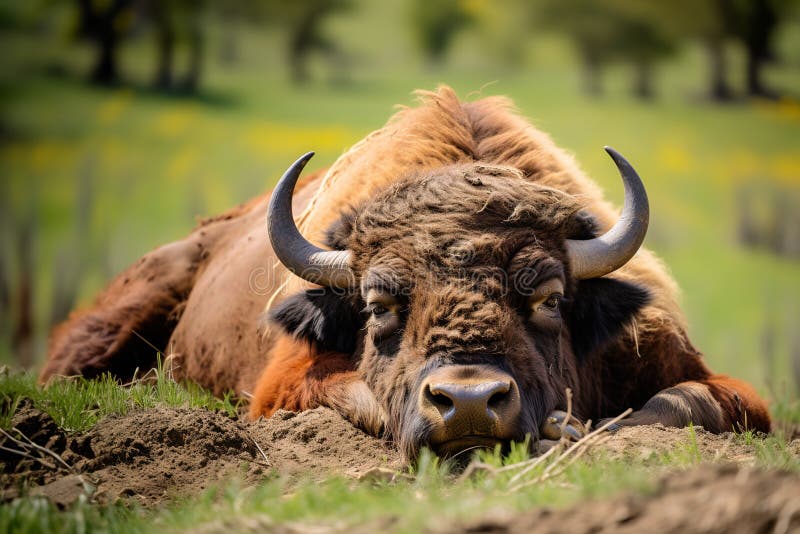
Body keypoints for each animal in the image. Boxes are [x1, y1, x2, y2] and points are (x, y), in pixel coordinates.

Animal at [41, 87, 770, 460]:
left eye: (550, 298)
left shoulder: (687, 368)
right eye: (379, 305)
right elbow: (355, 394)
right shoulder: (284, 383)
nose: (469, 401)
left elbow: (682, 403)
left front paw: (574, 429)